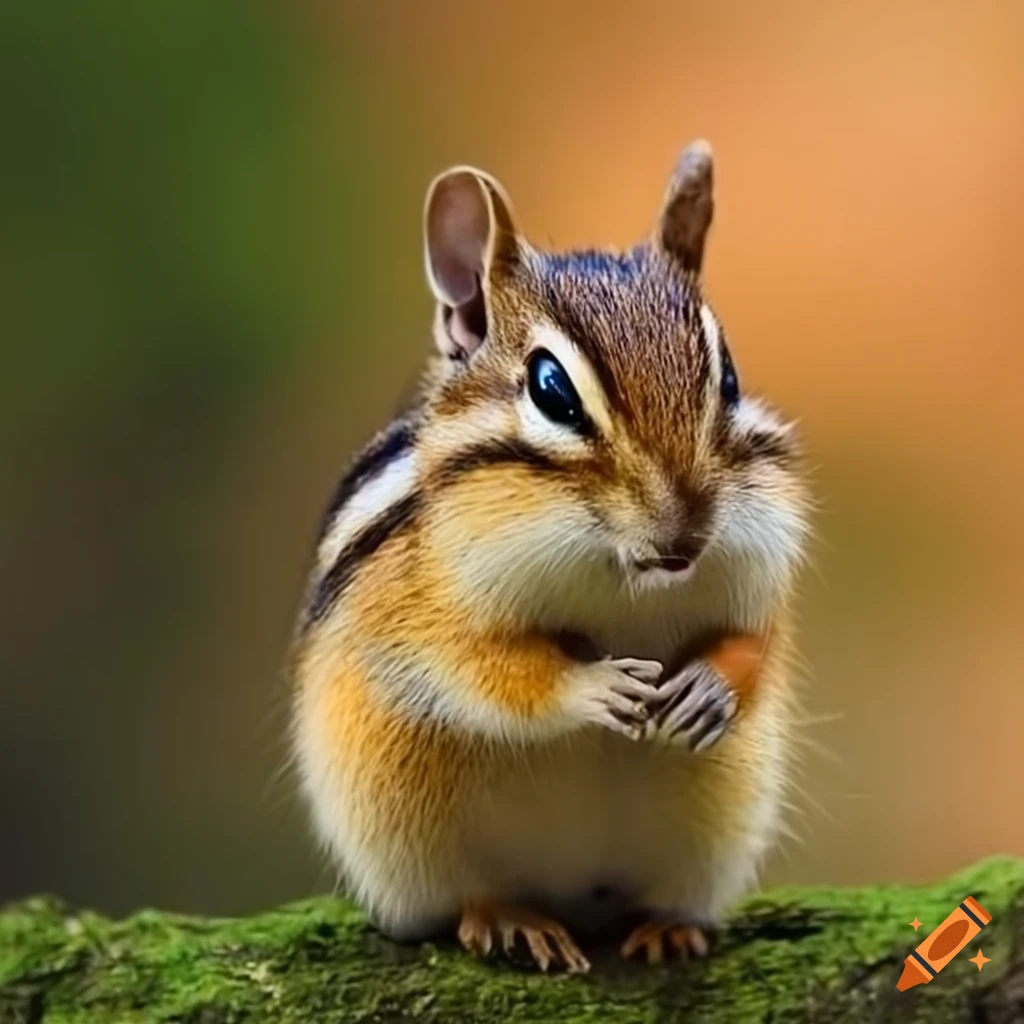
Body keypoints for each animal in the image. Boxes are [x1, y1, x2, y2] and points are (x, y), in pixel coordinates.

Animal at [289, 139, 810, 973]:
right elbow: (484, 668)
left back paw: (667, 927)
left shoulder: (760, 567)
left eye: (728, 377)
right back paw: (509, 917)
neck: (620, 578)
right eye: (551, 389)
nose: (684, 534)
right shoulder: (413, 603)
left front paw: (707, 688)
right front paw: (593, 686)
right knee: (467, 894)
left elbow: (755, 640)